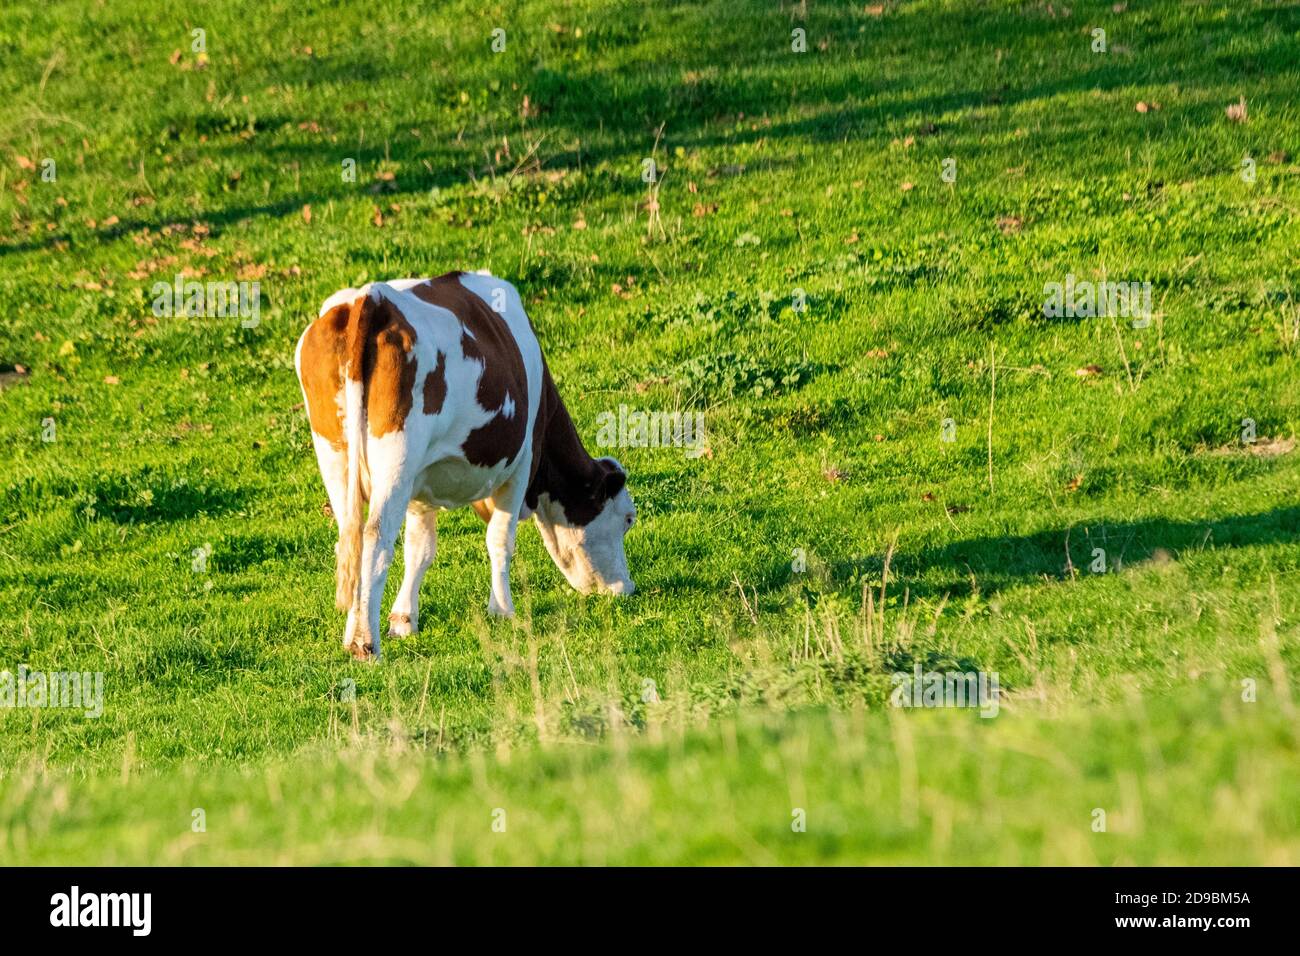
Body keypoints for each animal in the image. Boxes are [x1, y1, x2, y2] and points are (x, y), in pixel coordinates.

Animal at [294, 271, 636, 660]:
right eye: (627, 519)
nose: (626, 587)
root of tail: (372, 299)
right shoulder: (521, 466)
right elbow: (500, 539)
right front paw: (503, 610)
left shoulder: (420, 485)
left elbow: (420, 550)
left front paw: (404, 620)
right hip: (396, 456)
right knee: (375, 539)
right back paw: (366, 643)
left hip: (334, 453)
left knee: (349, 538)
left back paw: (353, 631)